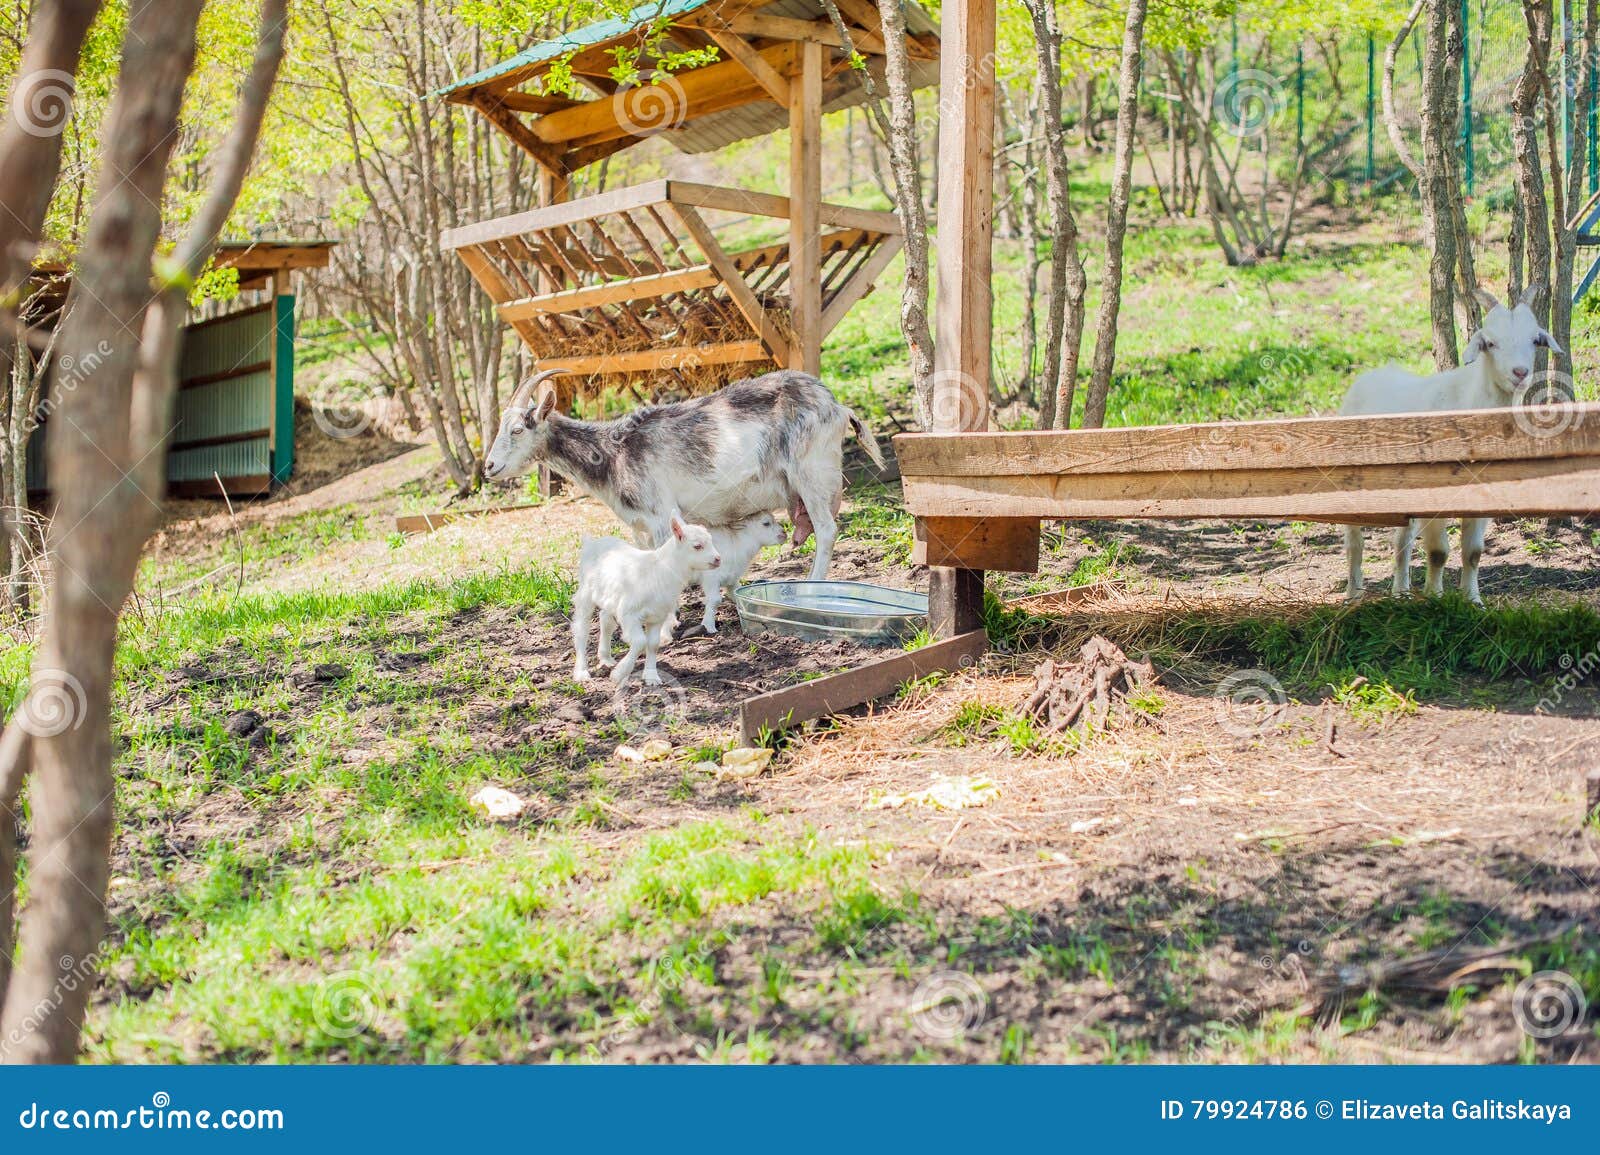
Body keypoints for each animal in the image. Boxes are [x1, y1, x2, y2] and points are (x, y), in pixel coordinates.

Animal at [484, 368, 884, 580]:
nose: (489, 467)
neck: (613, 452)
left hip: (811, 473)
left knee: (827, 530)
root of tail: (838, 406)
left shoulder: (662, 516)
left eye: (518, 429)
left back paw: (813, 584)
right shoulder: (640, 526)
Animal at [571, 514, 721, 686]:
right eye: (697, 546)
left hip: (610, 597)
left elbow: (653, 644)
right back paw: (581, 672)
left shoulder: (657, 616)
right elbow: (639, 641)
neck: (660, 571)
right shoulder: (628, 613)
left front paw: (651, 677)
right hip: (585, 592)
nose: (718, 559)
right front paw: (619, 674)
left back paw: (606, 658)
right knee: (581, 630)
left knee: (605, 620)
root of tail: (591, 543)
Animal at [1340, 285, 1562, 604]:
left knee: (1402, 541)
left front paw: (1472, 600)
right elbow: (1437, 553)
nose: (1520, 372)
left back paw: (1401, 592)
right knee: (1355, 540)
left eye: (1535, 339)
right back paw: (1353, 594)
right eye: (1490, 343)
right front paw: (1434, 598)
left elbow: (1473, 553)